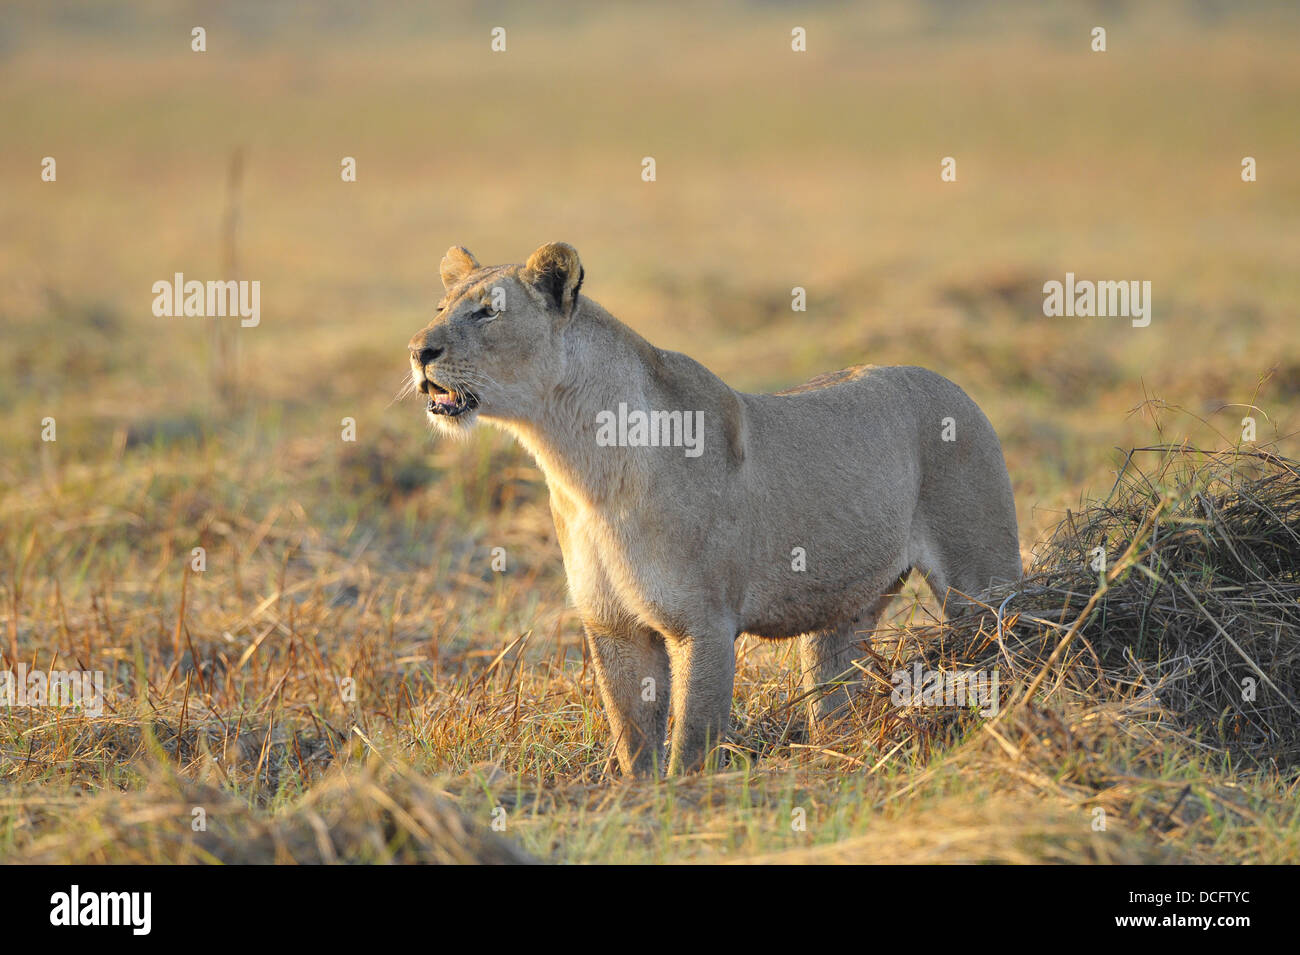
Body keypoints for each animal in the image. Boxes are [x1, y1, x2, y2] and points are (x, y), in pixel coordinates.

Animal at [408, 242, 1022, 776]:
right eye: (439, 309)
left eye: (488, 313)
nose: (418, 352)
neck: (580, 467)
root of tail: (952, 384)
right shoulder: (611, 626)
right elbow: (632, 737)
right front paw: (636, 800)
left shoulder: (703, 623)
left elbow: (692, 740)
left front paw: (686, 802)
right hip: (843, 615)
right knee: (834, 696)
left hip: (981, 581)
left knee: (1005, 638)